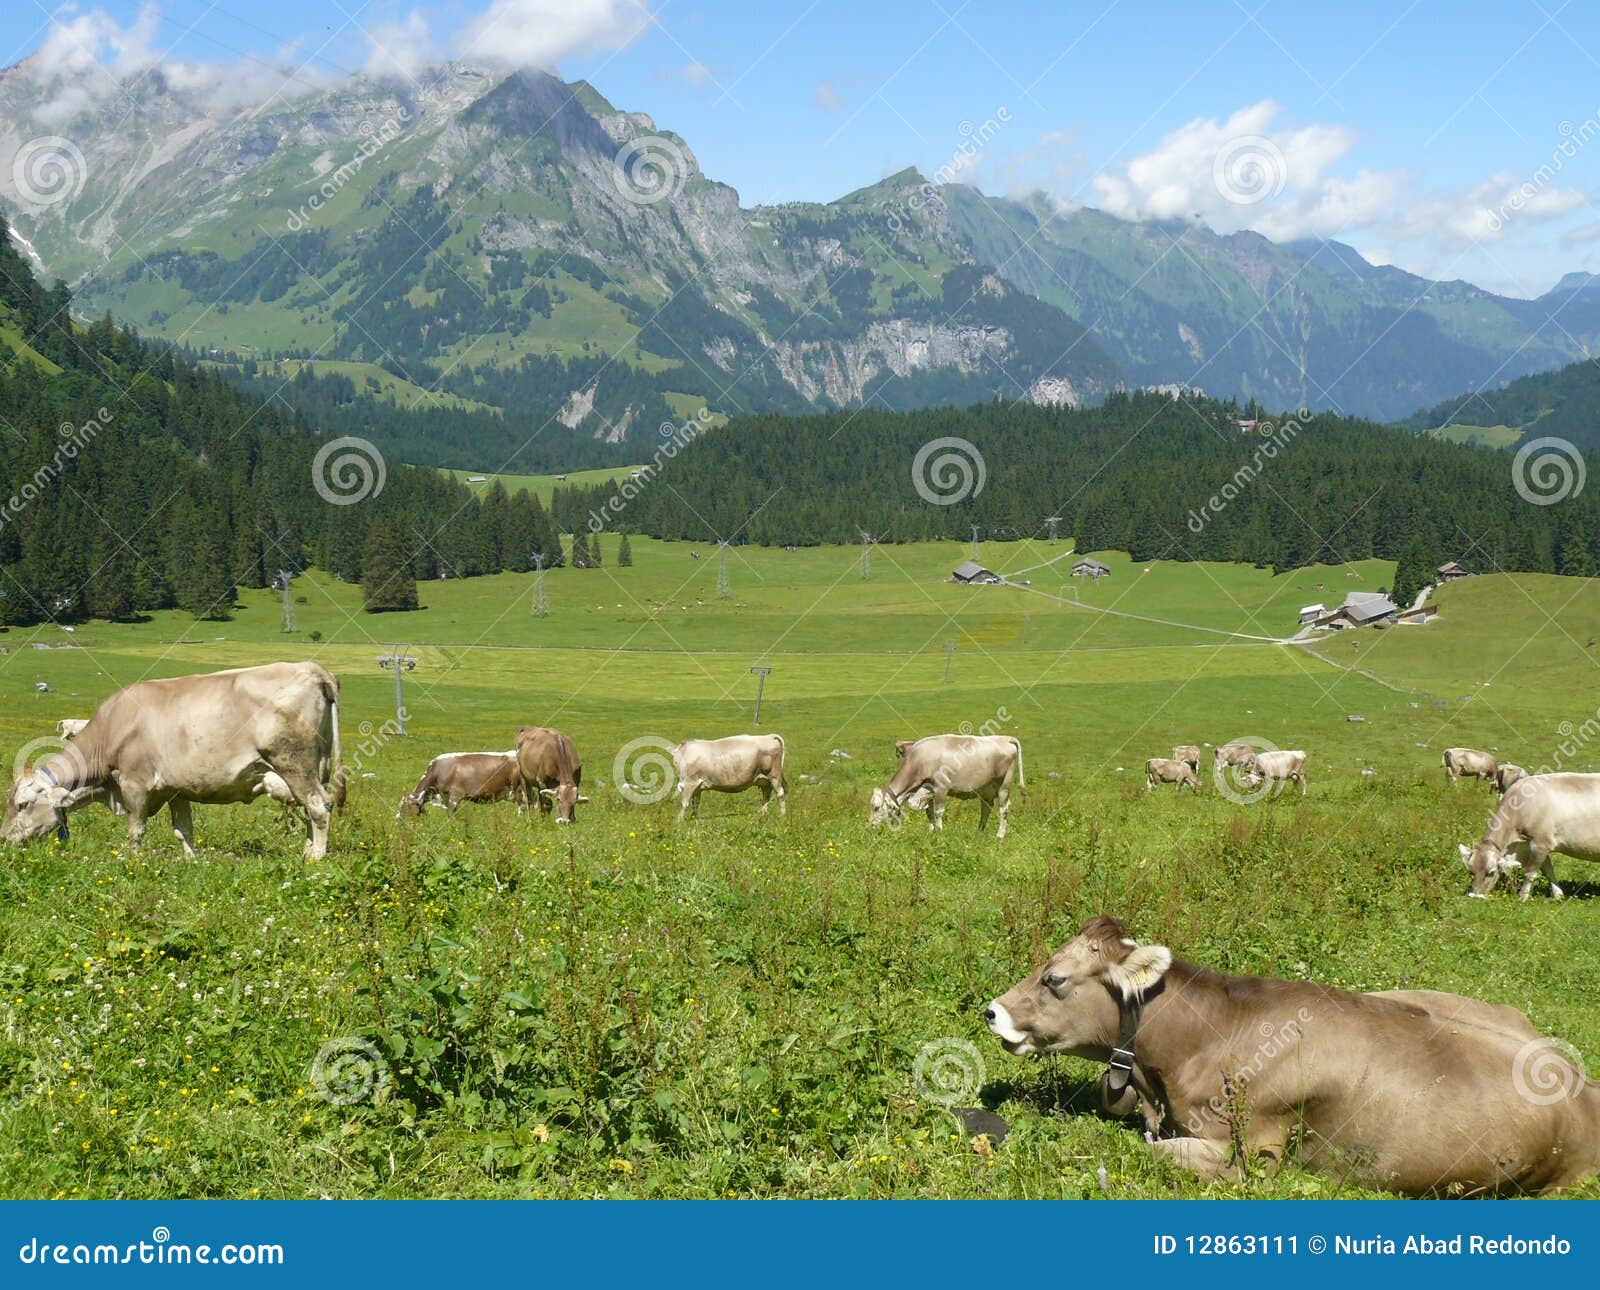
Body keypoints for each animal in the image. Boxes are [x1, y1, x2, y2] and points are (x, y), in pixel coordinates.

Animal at [3, 661, 343, 860]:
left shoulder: (134, 783)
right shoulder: (176, 789)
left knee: (317, 806)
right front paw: (192, 862)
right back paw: (308, 851)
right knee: (313, 809)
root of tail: (312, 667)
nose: (5, 838)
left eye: (21, 804)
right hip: (318, 767)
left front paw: (133, 863)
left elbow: (135, 830)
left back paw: (315, 861)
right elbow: (183, 830)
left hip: (294, 763)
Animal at [869, 734, 1023, 837]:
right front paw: (931, 831)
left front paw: (939, 832)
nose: (871, 826)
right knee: (986, 808)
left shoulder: (941, 788)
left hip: (1004, 786)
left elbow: (938, 812)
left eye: (876, 807)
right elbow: (929, 812)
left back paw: (1000, 835)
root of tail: (1005, 738)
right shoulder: (927, 792)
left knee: (1003, 809)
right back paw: (980, 831)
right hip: (986, 789)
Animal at [1460, 771, 1600, 900]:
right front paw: (1558, 895)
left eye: (1491, 872)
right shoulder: (1531, 845)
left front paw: (1522, 897)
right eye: (1471, 872)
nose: (1474, 896)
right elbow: (1548, 871)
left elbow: (1530, 873)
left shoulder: (1541, 842)